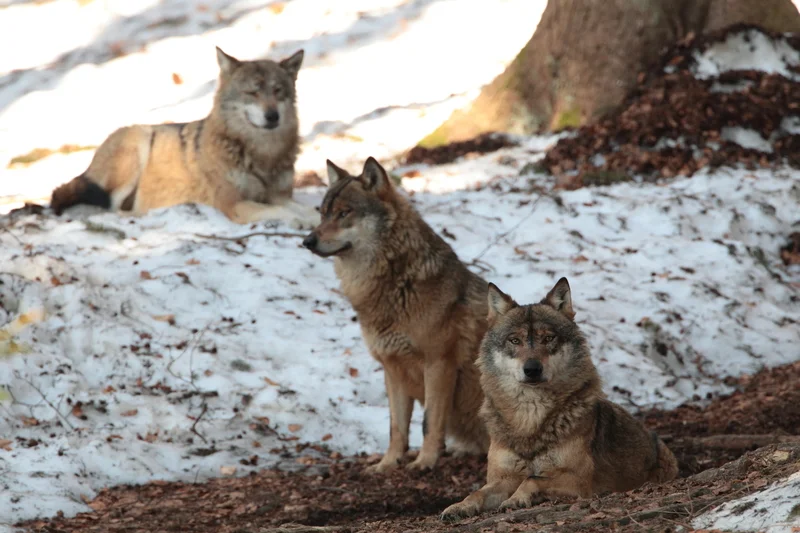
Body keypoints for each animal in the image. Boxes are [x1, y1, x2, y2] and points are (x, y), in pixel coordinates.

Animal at [49, 47, 319, 228]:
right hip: (137, 144)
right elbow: (281, 212)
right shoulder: (232, 204)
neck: (261, 153)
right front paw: (298, 221)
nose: (272, 116)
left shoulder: (279, 196)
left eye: (278, 91)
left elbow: (308, 210)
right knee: (112, 209)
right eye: (252, 93)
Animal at [302, 157, 490, 472]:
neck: (397, 284)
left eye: (344, 213)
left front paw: (425, 462)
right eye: (323, 213)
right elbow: (396, 427)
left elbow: (428, 423)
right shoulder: (392, 368)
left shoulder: (439, 365)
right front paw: (387, 464)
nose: (307, 242)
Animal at [441, 278, 678, 520]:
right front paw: (458, 507)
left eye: (548, 338)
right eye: (514, 340)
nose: (532, 369)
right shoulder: (503, 478)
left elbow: (532, 479)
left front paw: (516, 499)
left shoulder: (580, 482)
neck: (530, 417)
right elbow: (478, 492)